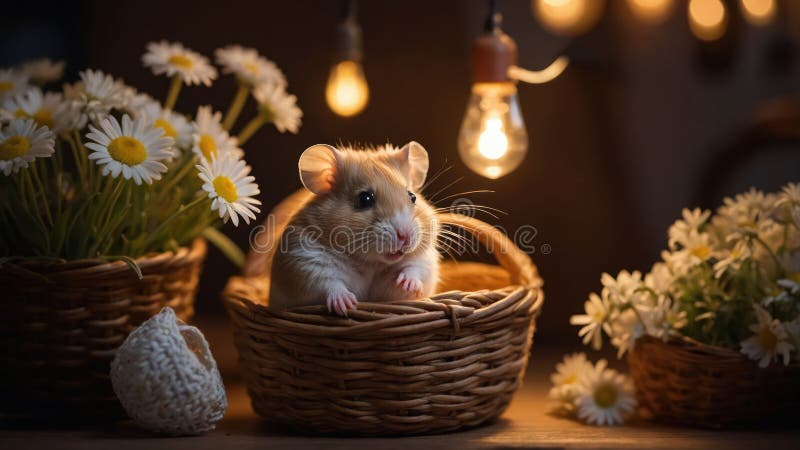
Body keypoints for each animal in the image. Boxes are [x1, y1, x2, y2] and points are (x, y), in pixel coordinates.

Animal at [268, 141, 440, 316]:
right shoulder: (304, 262)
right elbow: (329, 283)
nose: (405, 236)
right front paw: (347, 304)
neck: (369, 262)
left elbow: (414, 269)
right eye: (365, 199)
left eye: (412, 197)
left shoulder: (423, 262)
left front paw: (409, 285)